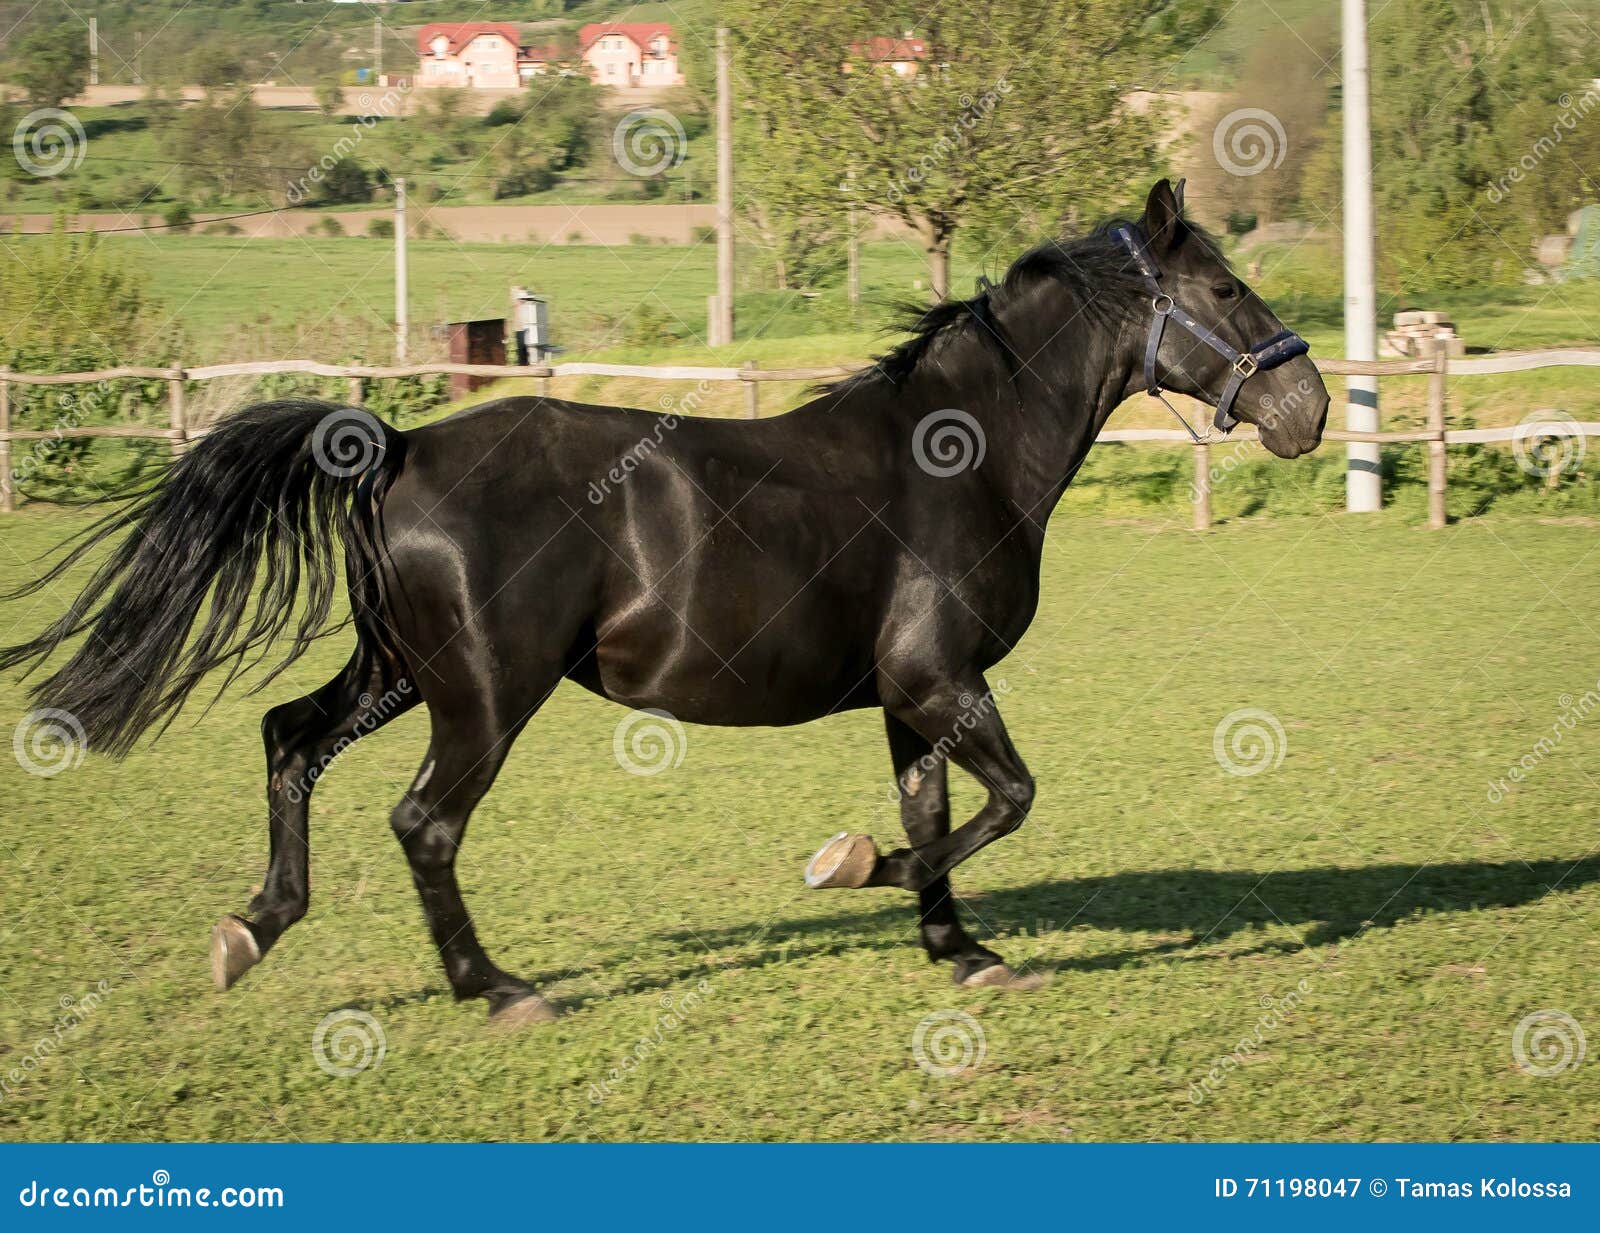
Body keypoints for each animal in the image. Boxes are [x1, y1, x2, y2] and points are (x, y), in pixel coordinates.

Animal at [1, 181, 1330, 1025]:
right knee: (424, 823)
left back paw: (252, 930)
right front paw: (847, 867)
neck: (960, 458)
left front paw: (959, 949)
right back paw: (497, 990)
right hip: (483, 695)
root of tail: (401, 446)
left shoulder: (911, 695)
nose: (1307, 408)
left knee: (288, 741)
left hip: (398, 671)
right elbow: (1002, 803)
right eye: (1224, 287)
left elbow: (943, 810)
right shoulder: (942, 678)